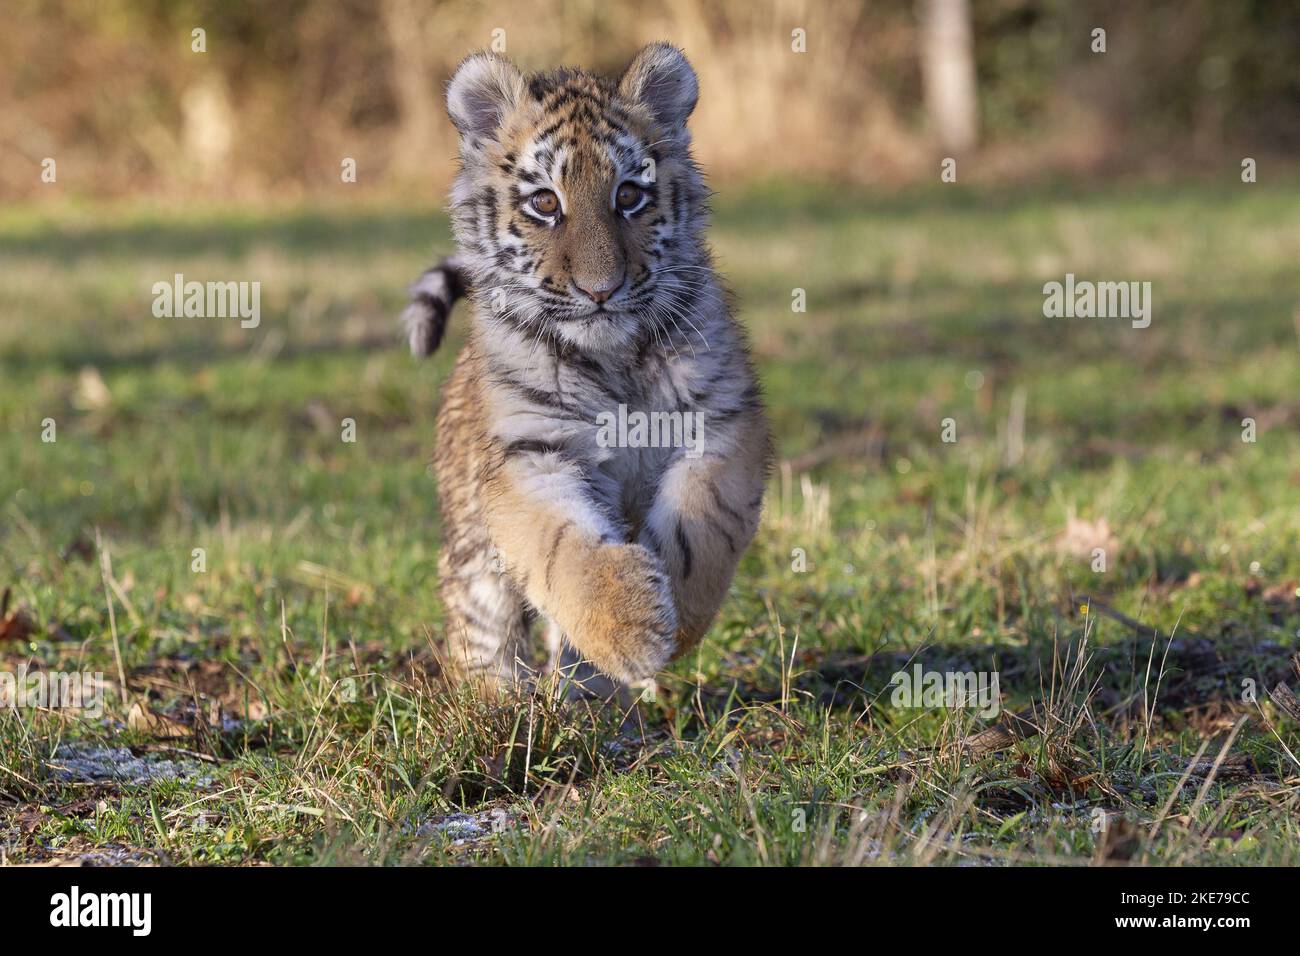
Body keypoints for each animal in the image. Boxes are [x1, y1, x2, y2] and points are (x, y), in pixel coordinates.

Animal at [400, 43, 770, 696]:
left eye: (629, 196)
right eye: (545, 202)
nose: (601, 290)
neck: (613, 357)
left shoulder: (723, 423)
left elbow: (701, 530)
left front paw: (671, 621)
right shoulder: (531, 453)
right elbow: (562, 550)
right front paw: (628, 629)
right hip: (473, 566)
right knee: (482, 637)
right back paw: (501, 702)